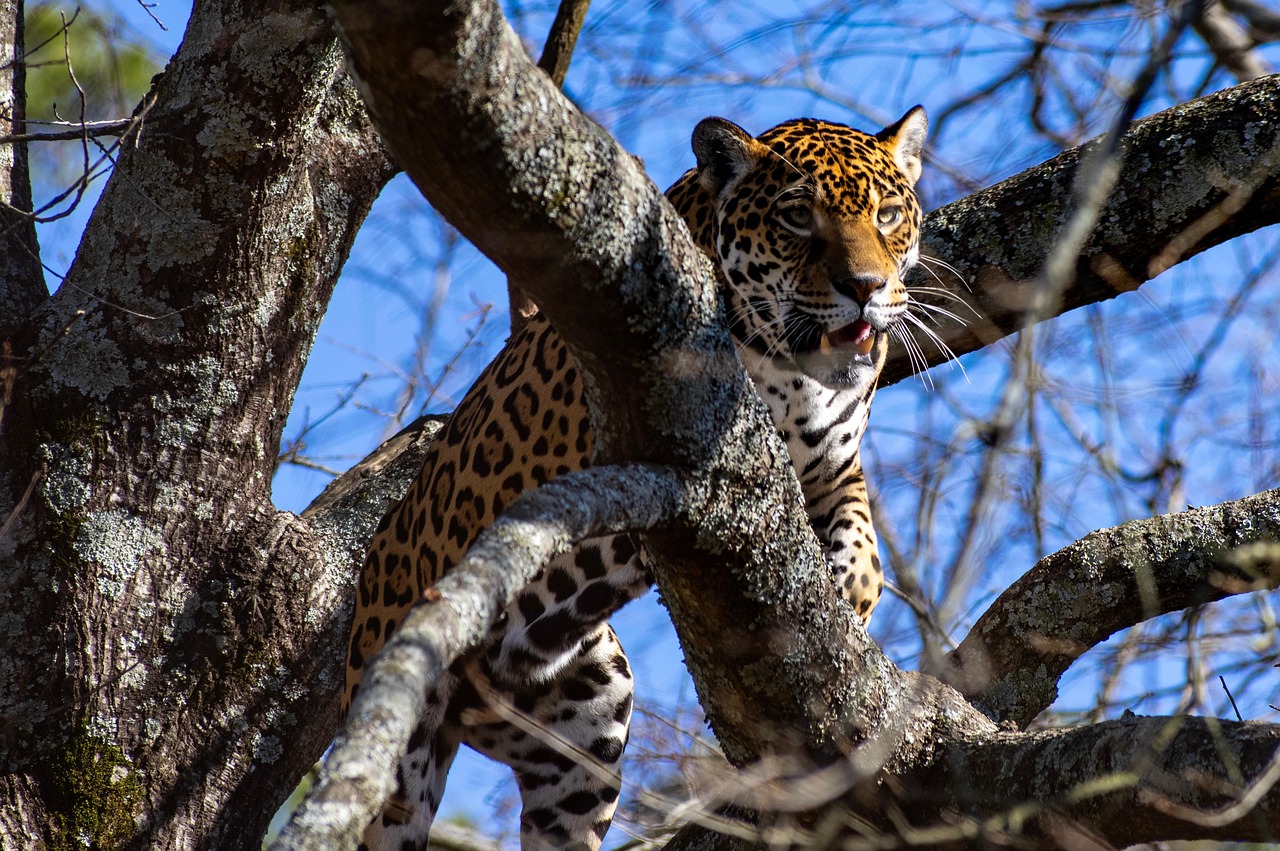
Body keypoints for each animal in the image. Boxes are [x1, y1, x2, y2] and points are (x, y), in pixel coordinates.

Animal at [343, 106, 929, 851]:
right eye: (798, 217)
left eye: (888, 215)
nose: (866, 288)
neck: (799, 373)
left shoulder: (835, 469)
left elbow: (865, 547)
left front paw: (849, 596)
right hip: (399, 748)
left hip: (588, 720)